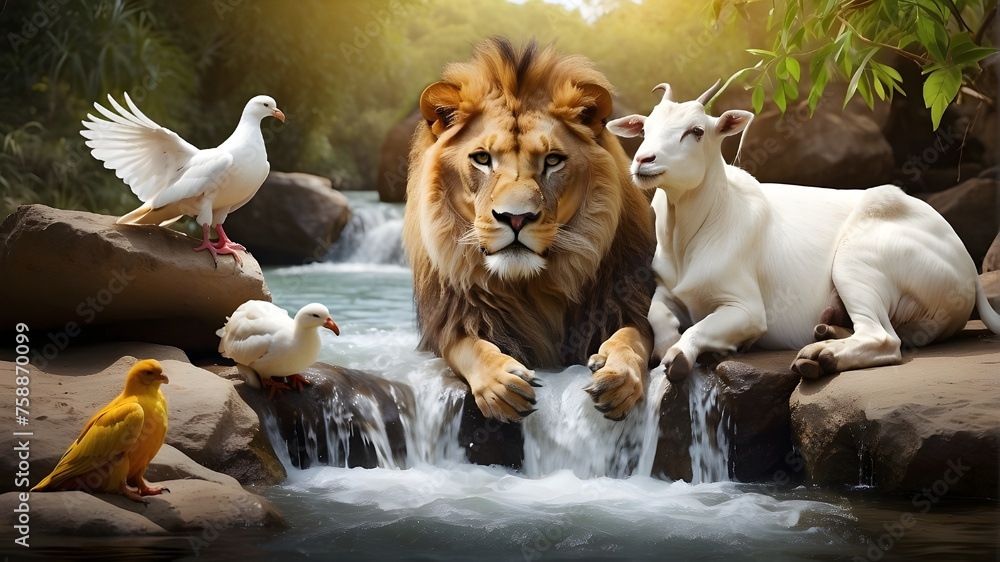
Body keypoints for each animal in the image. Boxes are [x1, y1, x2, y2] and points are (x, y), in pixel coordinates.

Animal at [403, 37, 656, 422]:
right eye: (482, 158)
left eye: (552, 160)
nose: (516, 217)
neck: (530, 284)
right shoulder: (452, 320)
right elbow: (468, 347)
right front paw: (500, 384)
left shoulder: (626, 300)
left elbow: (632, 336)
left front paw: (619, 375)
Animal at [607, 82, 1000, 382]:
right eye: (645, 130)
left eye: (697, 131)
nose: (644, 161)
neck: (692, 234)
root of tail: (968, 269)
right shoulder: (667, 289)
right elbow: (657, 313)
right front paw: (665, 346)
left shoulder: (746, 307)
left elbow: (698, 328)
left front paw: (680, 355)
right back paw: (827, 334)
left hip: (857, 264)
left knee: (885, 339)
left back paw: (820, 355)